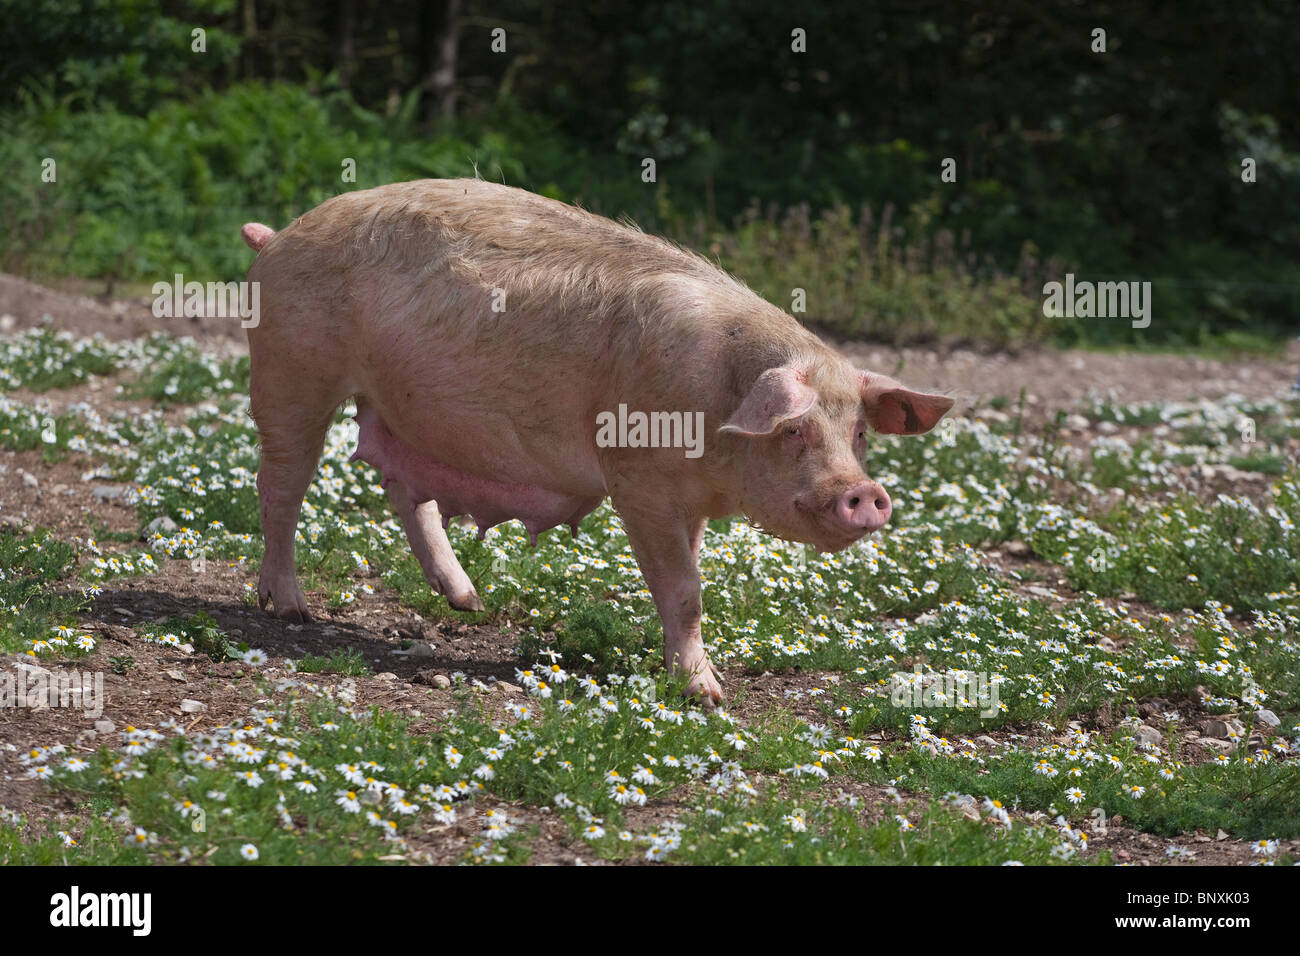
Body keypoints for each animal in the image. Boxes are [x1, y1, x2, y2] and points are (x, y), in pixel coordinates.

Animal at [241, 178, 953, 703]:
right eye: (793, 427)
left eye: (857, 431)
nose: (864, 494)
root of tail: (276, 236)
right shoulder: (638, 480)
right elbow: (685, 588)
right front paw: (708, 697)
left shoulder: (686, 503)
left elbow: (687, 584)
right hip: (290, 373)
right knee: (279, 486)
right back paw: (290, 611)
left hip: (396, 410)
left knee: (405, 492)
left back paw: (468, 600)